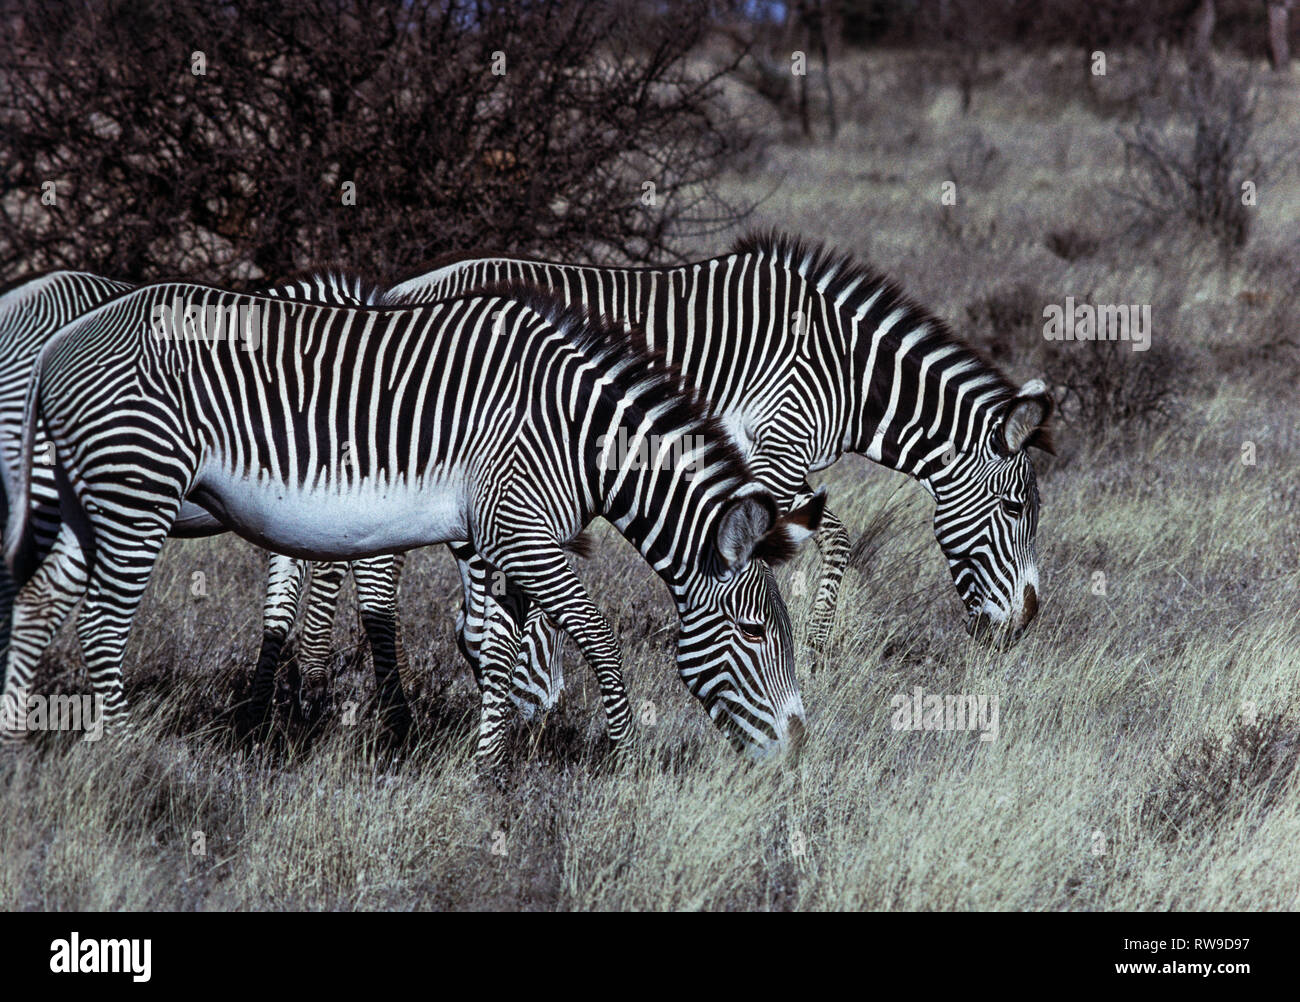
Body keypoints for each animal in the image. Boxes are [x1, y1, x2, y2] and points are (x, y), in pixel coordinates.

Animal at [384, 231, 1054, 712]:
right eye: (1016, 508)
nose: (1022, 627)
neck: (847, 370)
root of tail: (400, 289)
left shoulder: (785, 461)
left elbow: (836, 540)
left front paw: (815, 651)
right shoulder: (780, 448)